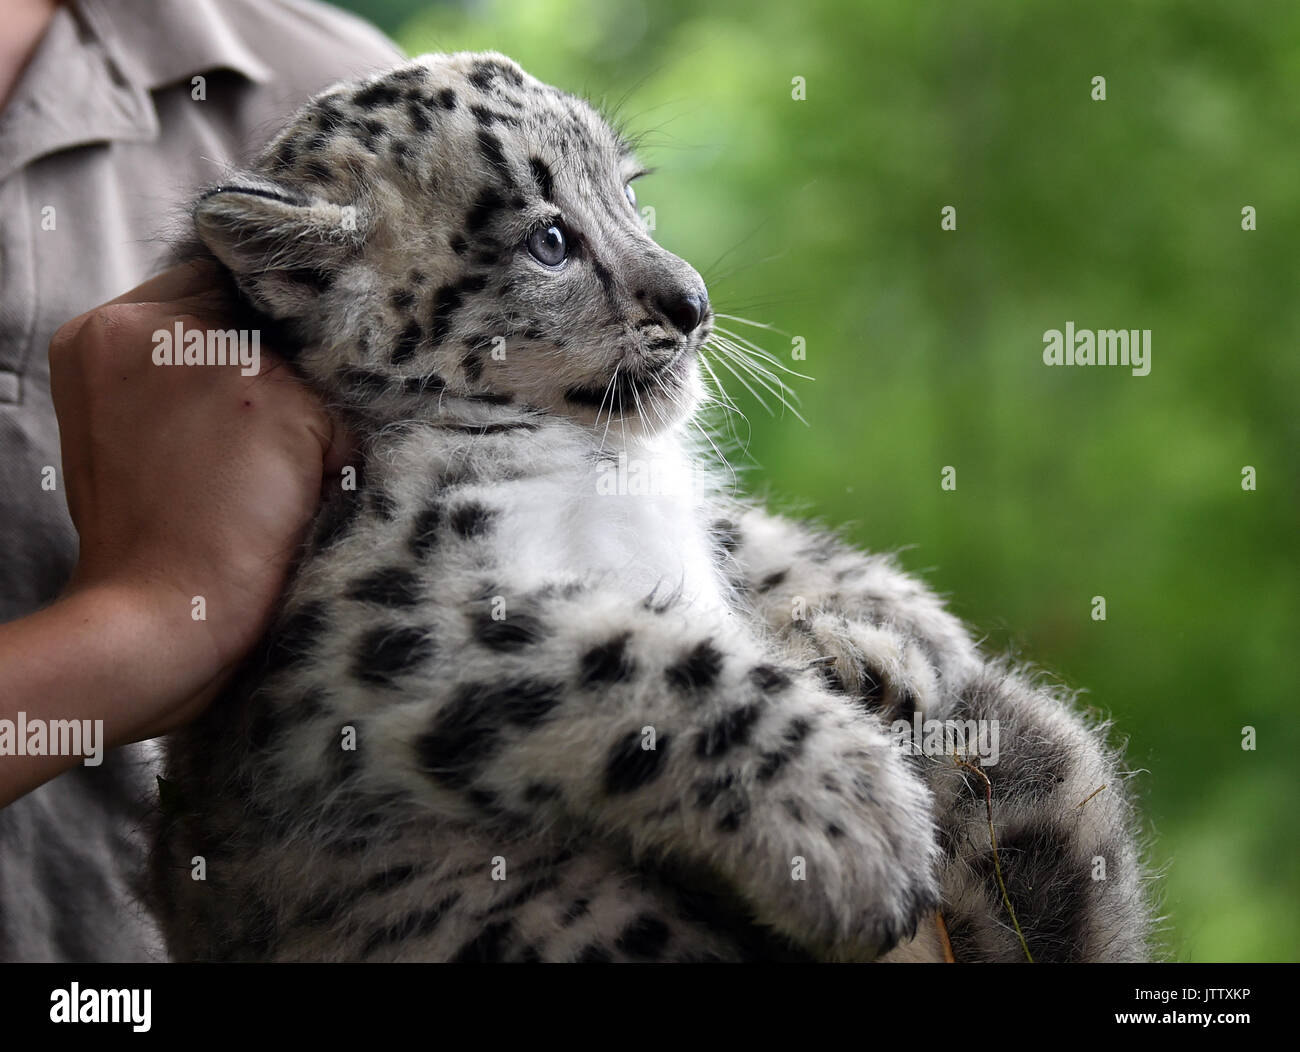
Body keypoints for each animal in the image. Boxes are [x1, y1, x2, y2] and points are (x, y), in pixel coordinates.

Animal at [148, 51, 1154, 962]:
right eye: (549, 241)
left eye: (630, 191)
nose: (695, 301)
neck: (607, 462)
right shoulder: (393, 604)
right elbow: (648, 661)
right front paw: (854, 823)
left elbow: (747, 536)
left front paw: (896, 630)